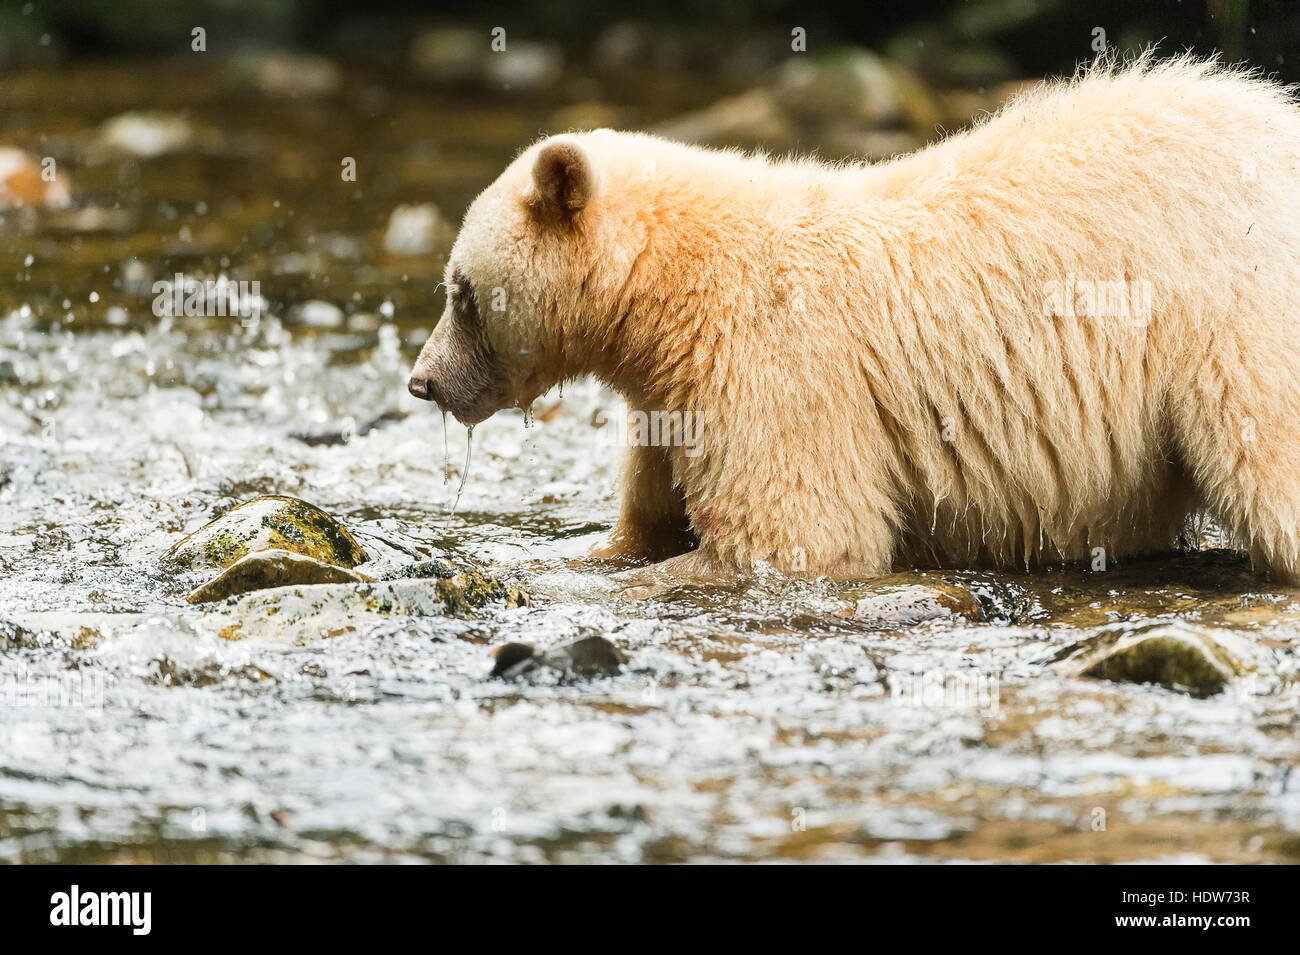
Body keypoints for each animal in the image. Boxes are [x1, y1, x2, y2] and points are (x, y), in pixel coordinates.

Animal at [408, 55, 1300, 581]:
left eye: (460, 290)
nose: (423, 381)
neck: (675, 293)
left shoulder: (773, 373)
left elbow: (797, 536)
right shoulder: (673, 401)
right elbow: (647, 520)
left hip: (1230, 315)